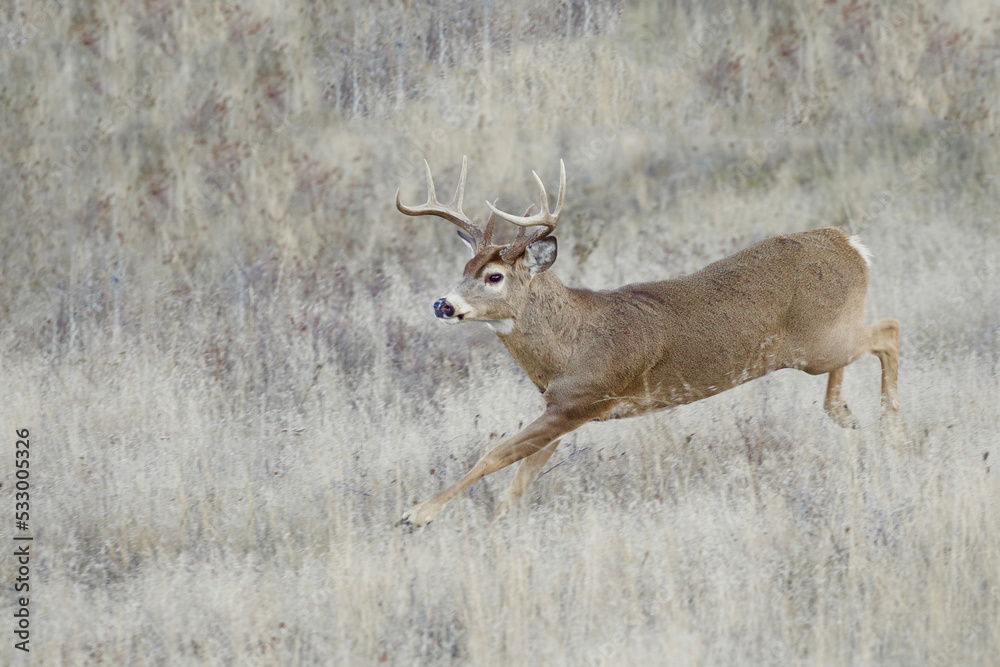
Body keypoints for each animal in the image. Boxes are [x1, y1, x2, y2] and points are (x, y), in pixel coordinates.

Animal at [395, 156, 899, 527]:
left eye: (495, 276)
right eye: (464, 269)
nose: (443, 304)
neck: (568, 347)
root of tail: (850, 244)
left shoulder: (582, 399)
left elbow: (493, 455)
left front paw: (416, 515)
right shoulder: (565, 410)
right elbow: (519, 478)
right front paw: (494, 524)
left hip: (815, 344)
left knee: (889, 329)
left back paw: (890, 419)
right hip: (824, 339)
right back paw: (847, 413)